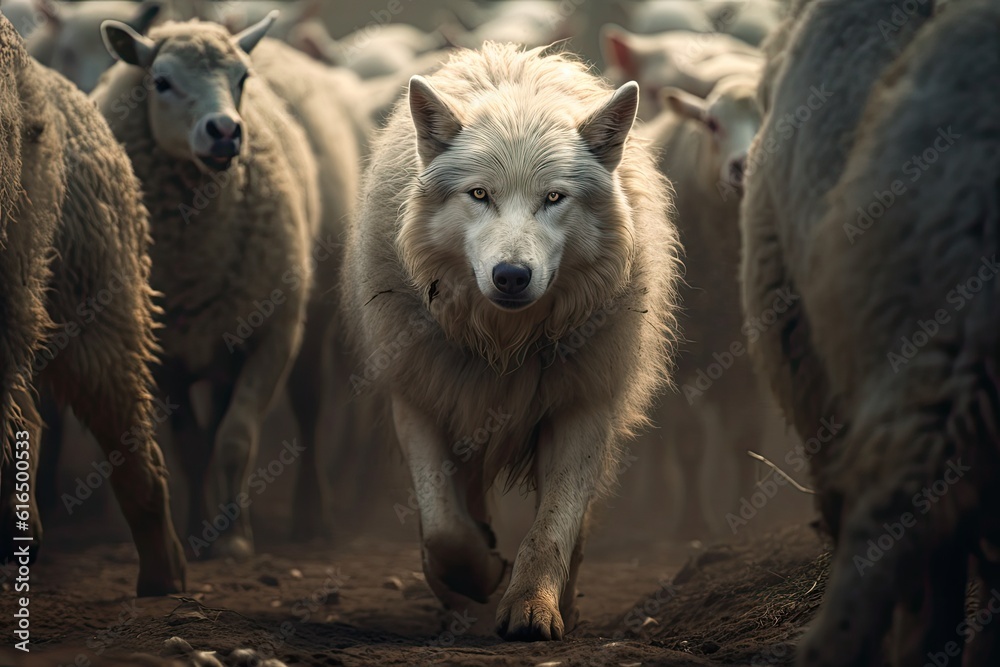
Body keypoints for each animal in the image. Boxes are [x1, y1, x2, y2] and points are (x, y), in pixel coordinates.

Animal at [94, 14, 316, 559]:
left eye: (243, 77)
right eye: (161, 82)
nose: (225, 131)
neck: (197, 261)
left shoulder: (273, 336)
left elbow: (236, 438)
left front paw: (235, 538)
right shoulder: (164, 356)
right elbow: (192, 448)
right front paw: (199, 530)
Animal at [341, 42, 680, 640]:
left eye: (554, 198)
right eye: (479, 195)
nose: (512, 276)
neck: (505, 344)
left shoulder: (581, 408)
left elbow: (551, 529)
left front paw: (532, 608)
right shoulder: (419, 398)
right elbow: (444, 530)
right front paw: (478, 577)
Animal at [636, 73, 765, 537]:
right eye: (711, 123)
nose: (744, 166)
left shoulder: (747, 350)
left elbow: (745, 437)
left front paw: (747, 520)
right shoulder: (680, 353)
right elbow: (688, 440)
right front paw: (691, 526)